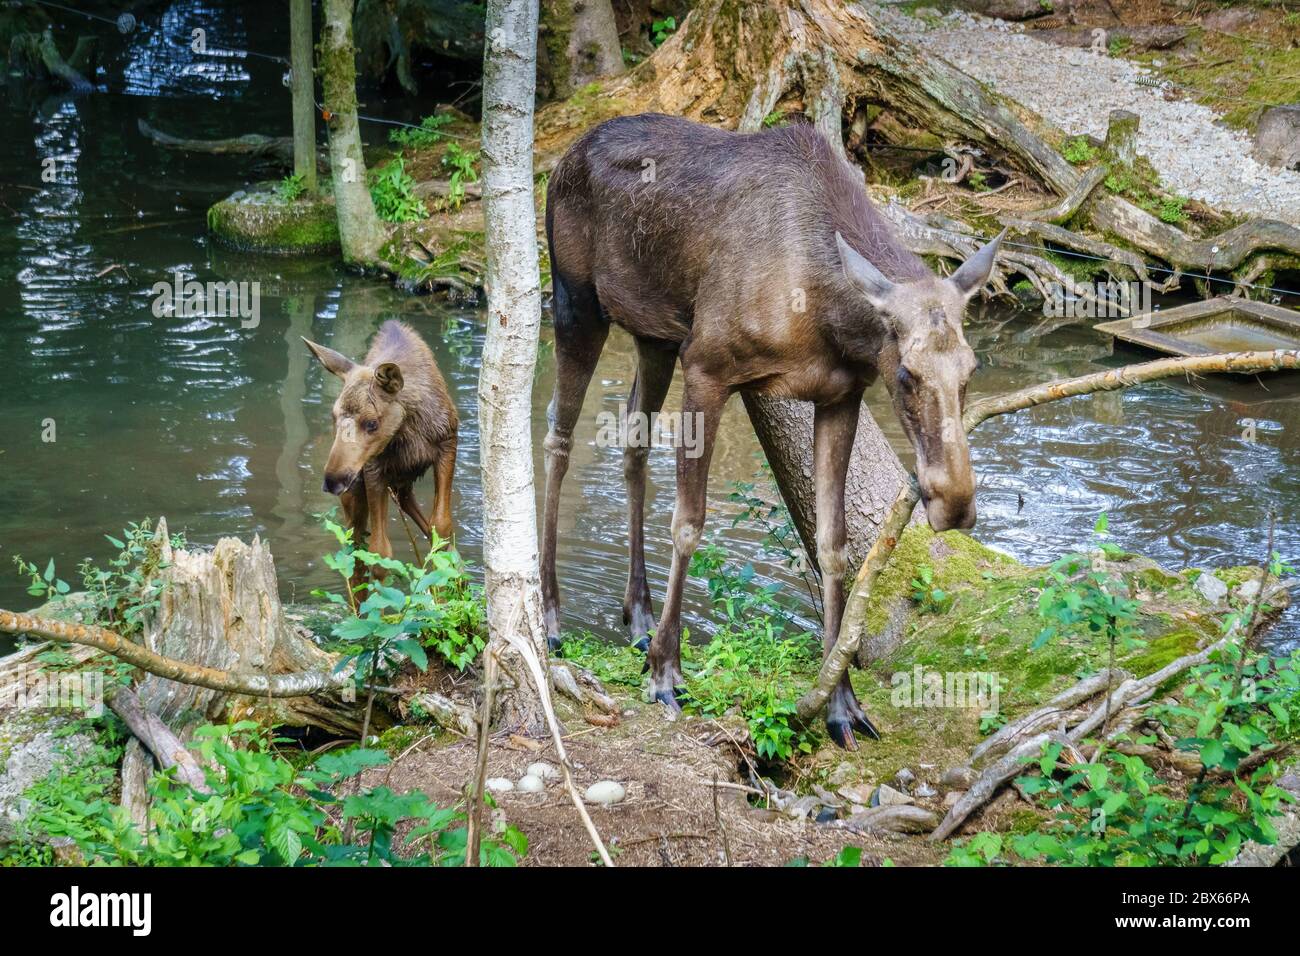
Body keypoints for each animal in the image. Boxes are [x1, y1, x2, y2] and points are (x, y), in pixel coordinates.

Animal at [303, 320, 458, 577]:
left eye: (372, 423)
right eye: (333, 416)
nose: (332, 481)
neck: (408, 431)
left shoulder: (448, 444)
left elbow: (442, 525)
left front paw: (449, 579)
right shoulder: (374, 470)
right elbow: (379, 552)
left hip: (399, 480)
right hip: (361, 490)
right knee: (354, 543)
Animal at [540, 114, 1005, 750]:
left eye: (973, 368)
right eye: (906, 373)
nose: (954, 502)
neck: (828, 314)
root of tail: (563, 158)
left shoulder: (840, 395)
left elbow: (833, 544)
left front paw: (841, 704)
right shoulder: (707, 366)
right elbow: (689, 522)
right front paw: (666, 673)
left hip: (652, 334)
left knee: (633, 445)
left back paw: (637, 616)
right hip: (576, 303)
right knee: (557, 439)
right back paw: (550, 617)